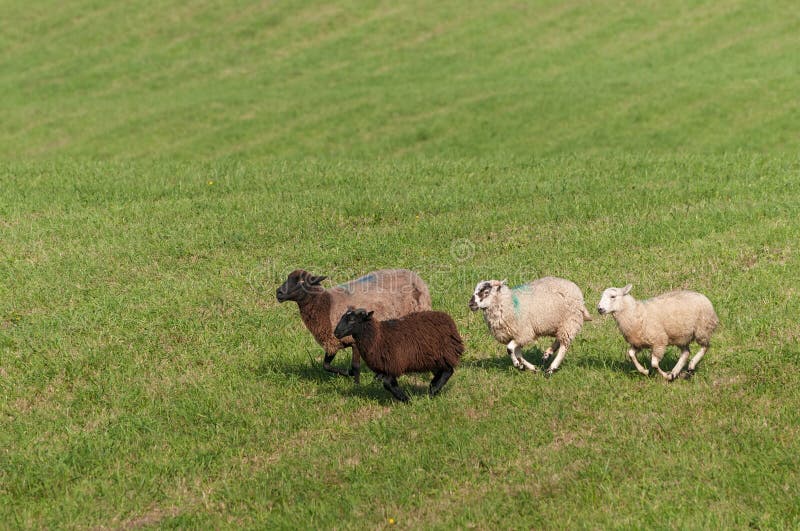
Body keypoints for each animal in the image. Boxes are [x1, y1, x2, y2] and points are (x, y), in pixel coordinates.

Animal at [276, 268, 431, 383]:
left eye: (301, 281)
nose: (278, 293)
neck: (326, 305)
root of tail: (416, 277)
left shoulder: (354, 341)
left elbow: (355, 366)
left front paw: (357, 384)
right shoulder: (333, 342)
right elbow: (326, 365)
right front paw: (346, 373)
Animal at [333, 308, 464, 402]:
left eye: (352, 320)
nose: (336, 333)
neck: (378, 337)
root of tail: (447, 318)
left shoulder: (393, 364)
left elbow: (387, 384)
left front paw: (407, 400)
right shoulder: (386, 368)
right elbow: (388, 384)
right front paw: (405, 398)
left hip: (444, 354)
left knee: (448, 371)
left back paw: (432, 392)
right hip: (433, 359)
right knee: (442, 372)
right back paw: (433, 386)